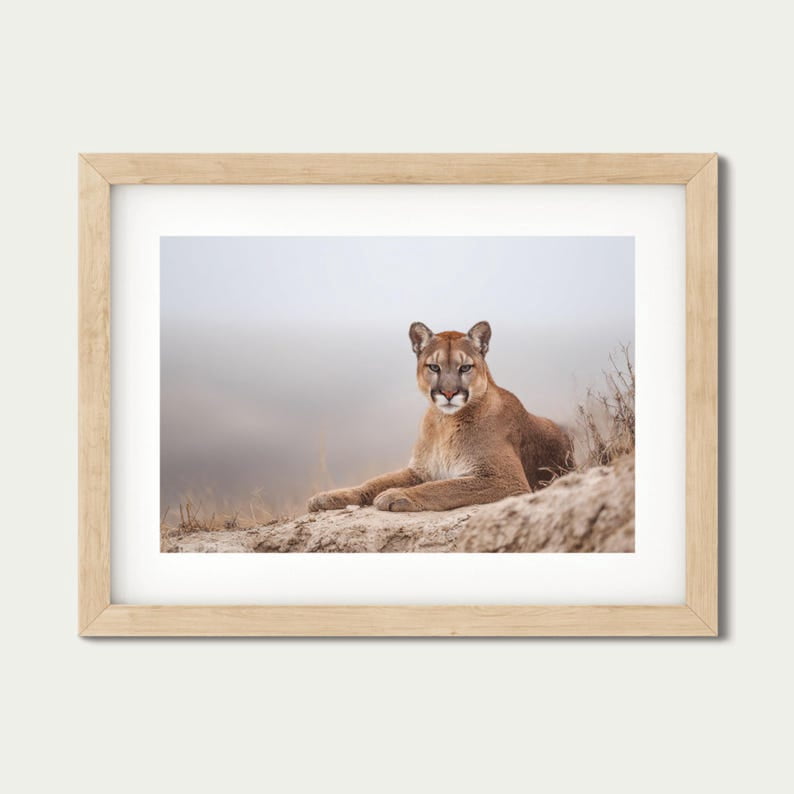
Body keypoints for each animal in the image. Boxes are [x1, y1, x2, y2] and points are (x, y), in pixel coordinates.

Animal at [308, 321, 573, 513]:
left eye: (465, 367)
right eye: (434, 367)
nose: (448, 393)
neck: (445, 423)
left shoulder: (507, 480)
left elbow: (445, 486)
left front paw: (398, 495)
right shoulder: (419, 470)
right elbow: (373, 482)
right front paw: (330, 497)